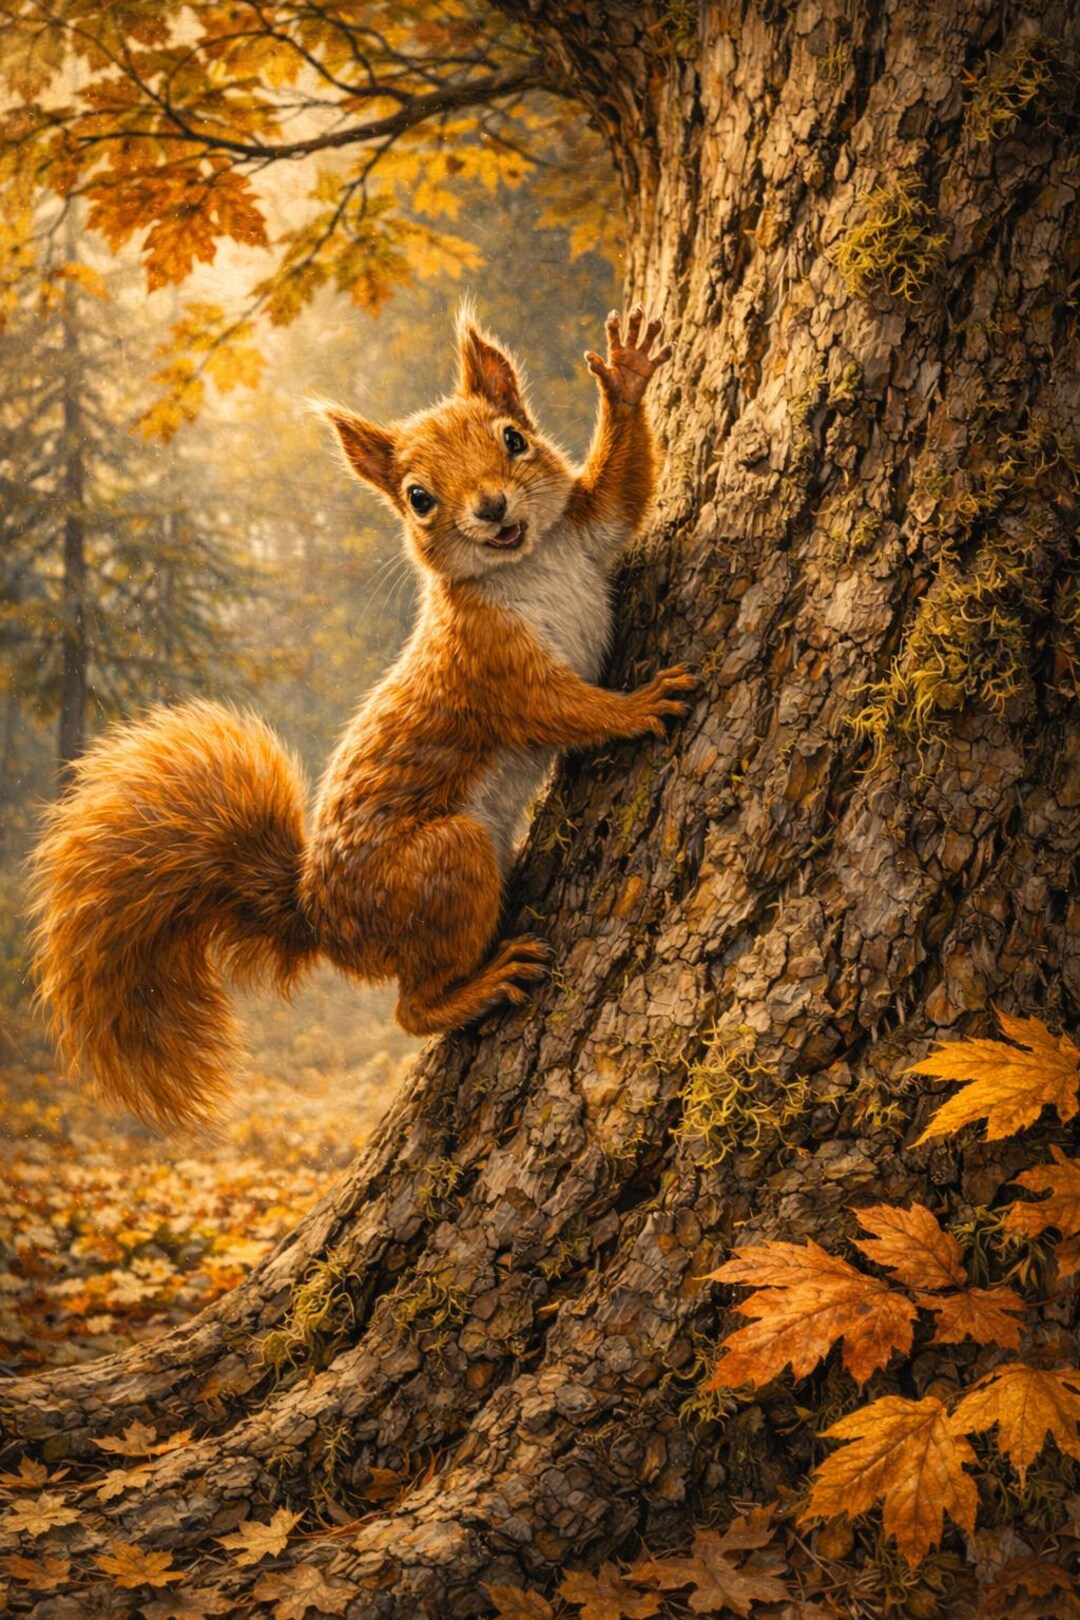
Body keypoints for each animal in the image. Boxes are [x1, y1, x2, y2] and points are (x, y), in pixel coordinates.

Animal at [29, 304, 696, 1129]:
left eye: (513, 437)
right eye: (418, 497)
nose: (493, 510)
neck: (526, 563)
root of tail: (320, 916)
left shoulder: (587, 532)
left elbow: (623, 492)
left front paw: (627, 374)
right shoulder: (490, 670)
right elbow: (566, 709)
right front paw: (639, 705)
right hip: (439, 867)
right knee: (410, 1007)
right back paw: (478, 986)